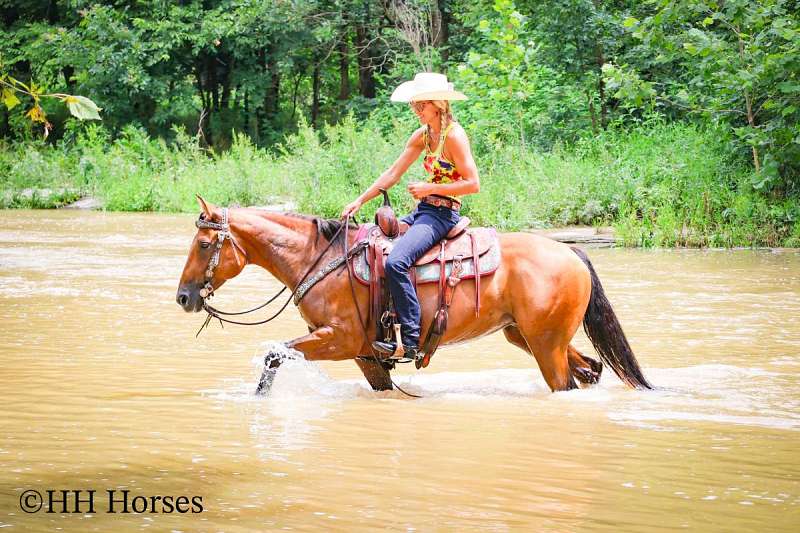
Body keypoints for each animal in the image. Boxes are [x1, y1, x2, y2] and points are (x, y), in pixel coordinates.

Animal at [176, 196, 651, 395]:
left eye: (204, 244)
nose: (183, 297)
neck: (319, 257)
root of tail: (571, 252)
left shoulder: (340, 340)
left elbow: (274, 354)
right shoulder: (365, 353)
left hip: (546, 344)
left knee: (567, 384)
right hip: (528, 335)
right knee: (591, 370)